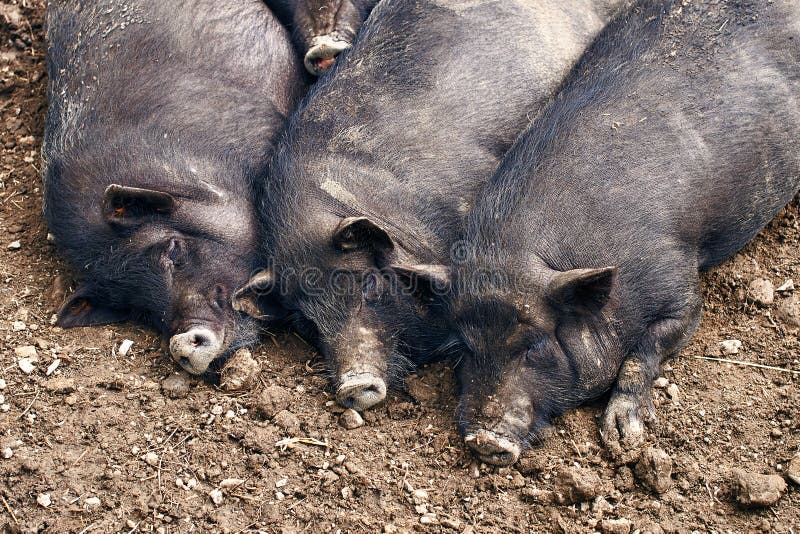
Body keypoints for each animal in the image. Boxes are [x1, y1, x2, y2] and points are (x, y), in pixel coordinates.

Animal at [429, 0, 800, 465]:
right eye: (463, 348)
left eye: (534, 346)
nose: (483, 439)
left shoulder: (679, 283)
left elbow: (647, 350)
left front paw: (624, 438)